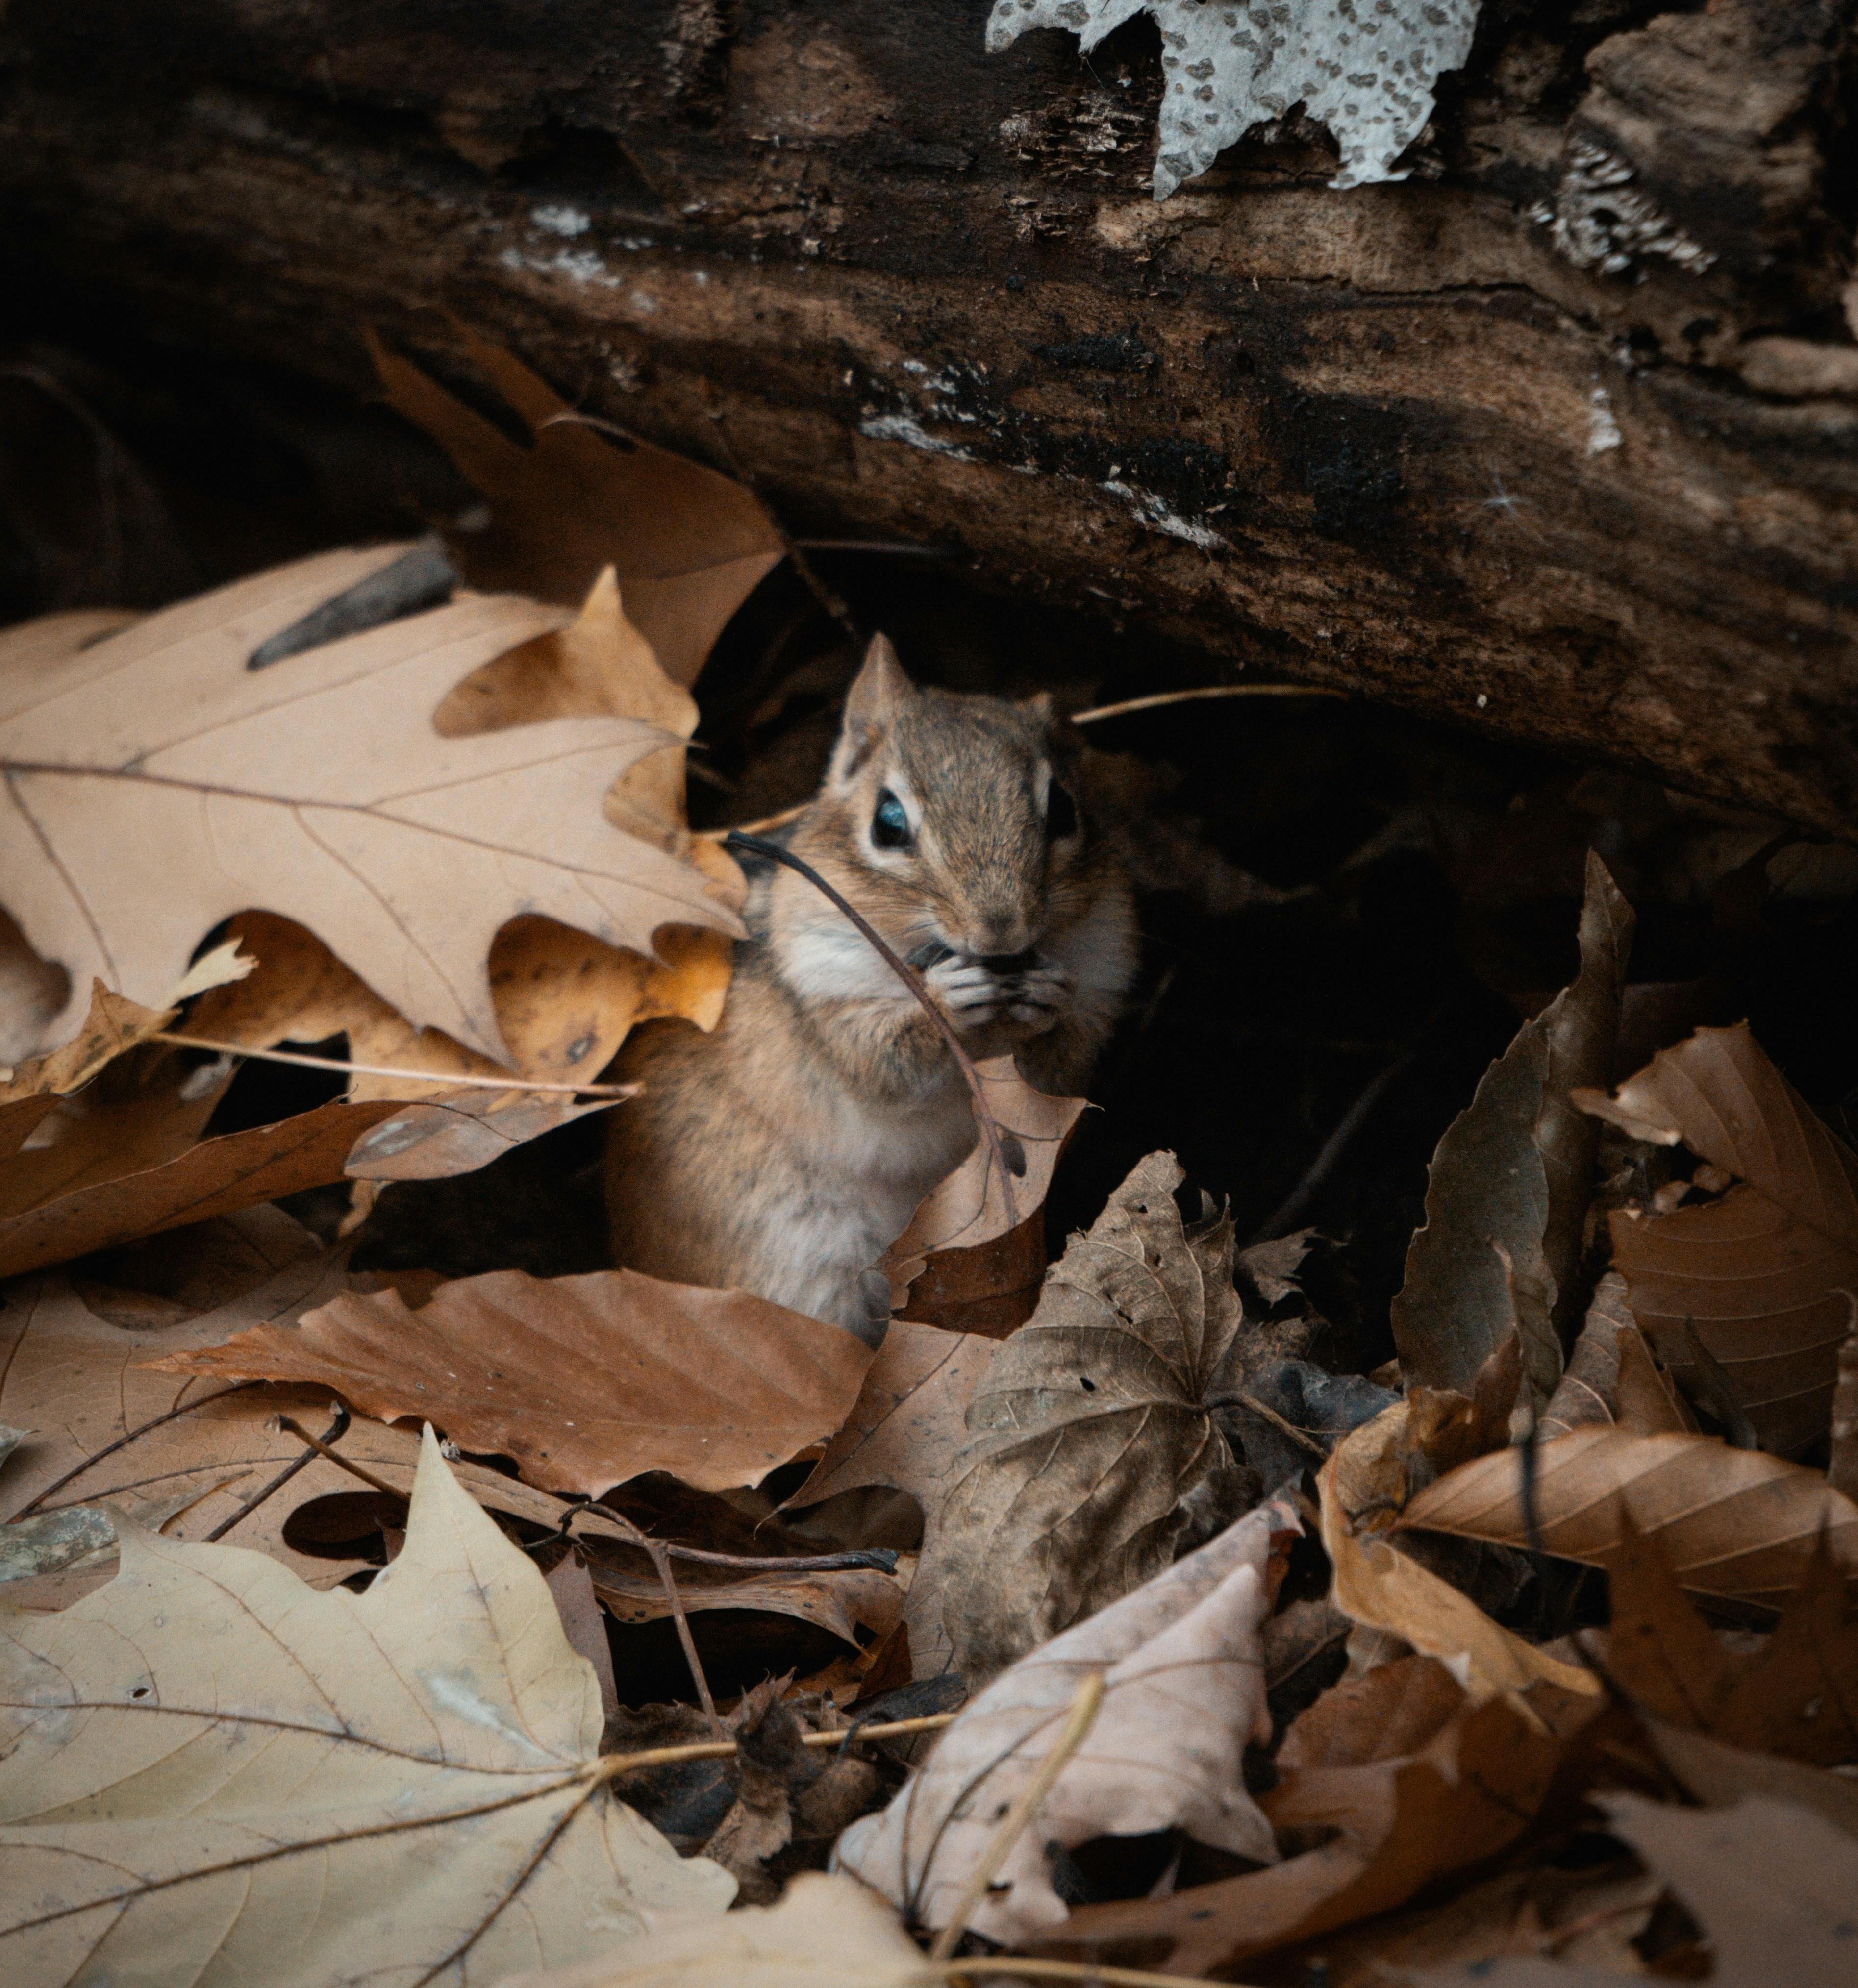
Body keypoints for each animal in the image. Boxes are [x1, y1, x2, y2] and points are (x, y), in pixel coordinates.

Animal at [604, 635, 1138, 1332]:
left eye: (1066, 811)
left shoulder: (1101, 977)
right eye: (887, 822)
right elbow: (885, 1066)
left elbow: (1062, 1066)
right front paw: (945, 1001)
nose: (1000, 932)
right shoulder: (824, 990)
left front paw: (1048, 1001)